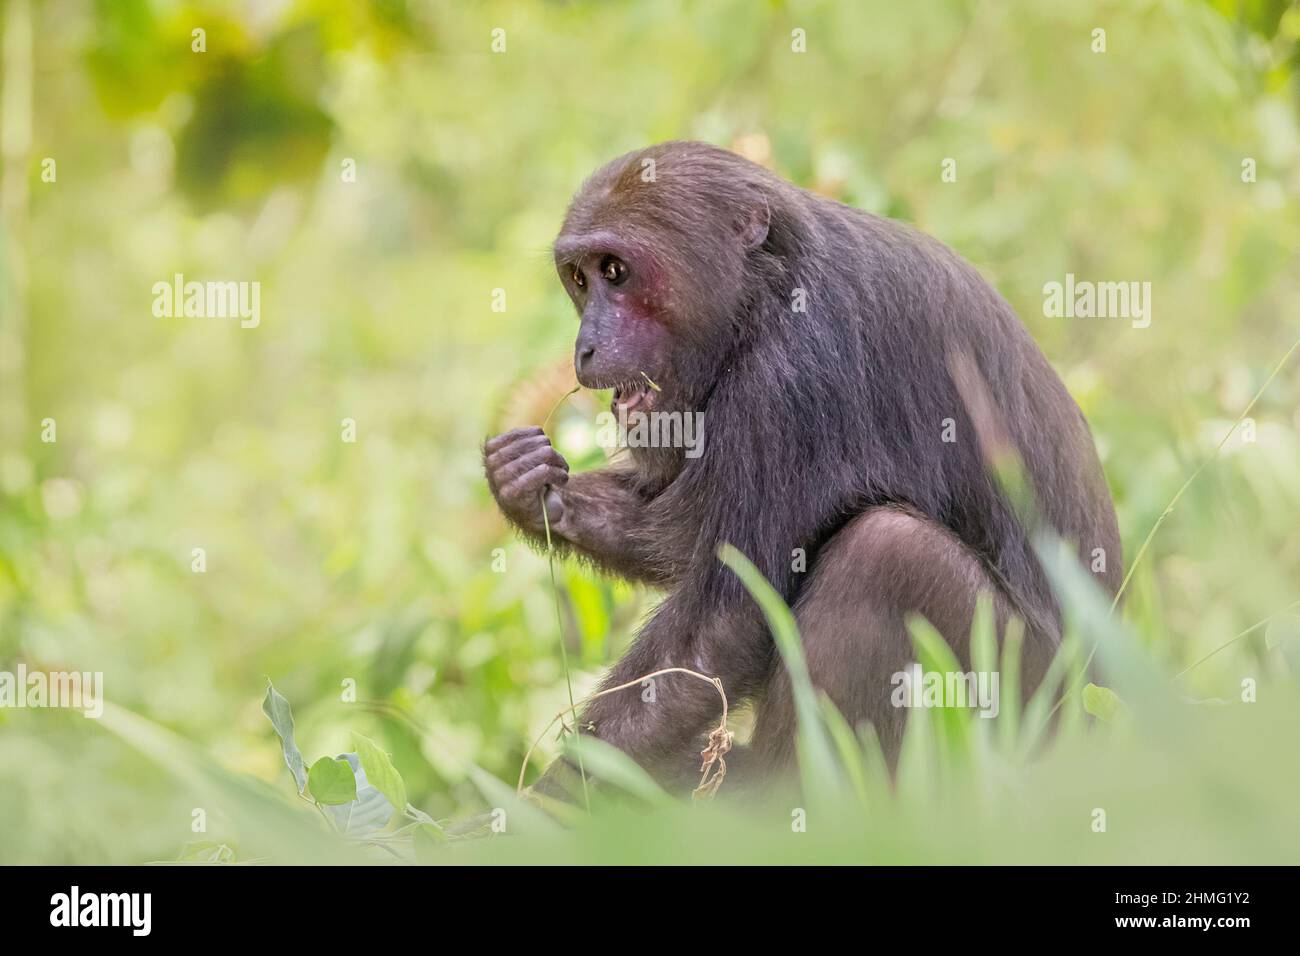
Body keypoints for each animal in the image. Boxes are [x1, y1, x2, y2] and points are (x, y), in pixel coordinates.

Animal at [483, 141, 1121, 797]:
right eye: (580, 279)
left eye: (615, 271)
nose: (584, 345)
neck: (761, 296)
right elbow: (679, 537)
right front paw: (532, 488)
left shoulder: (791, 379)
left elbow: (717, 628)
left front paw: (547, 800)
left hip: (1026, 729)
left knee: (888, 553)